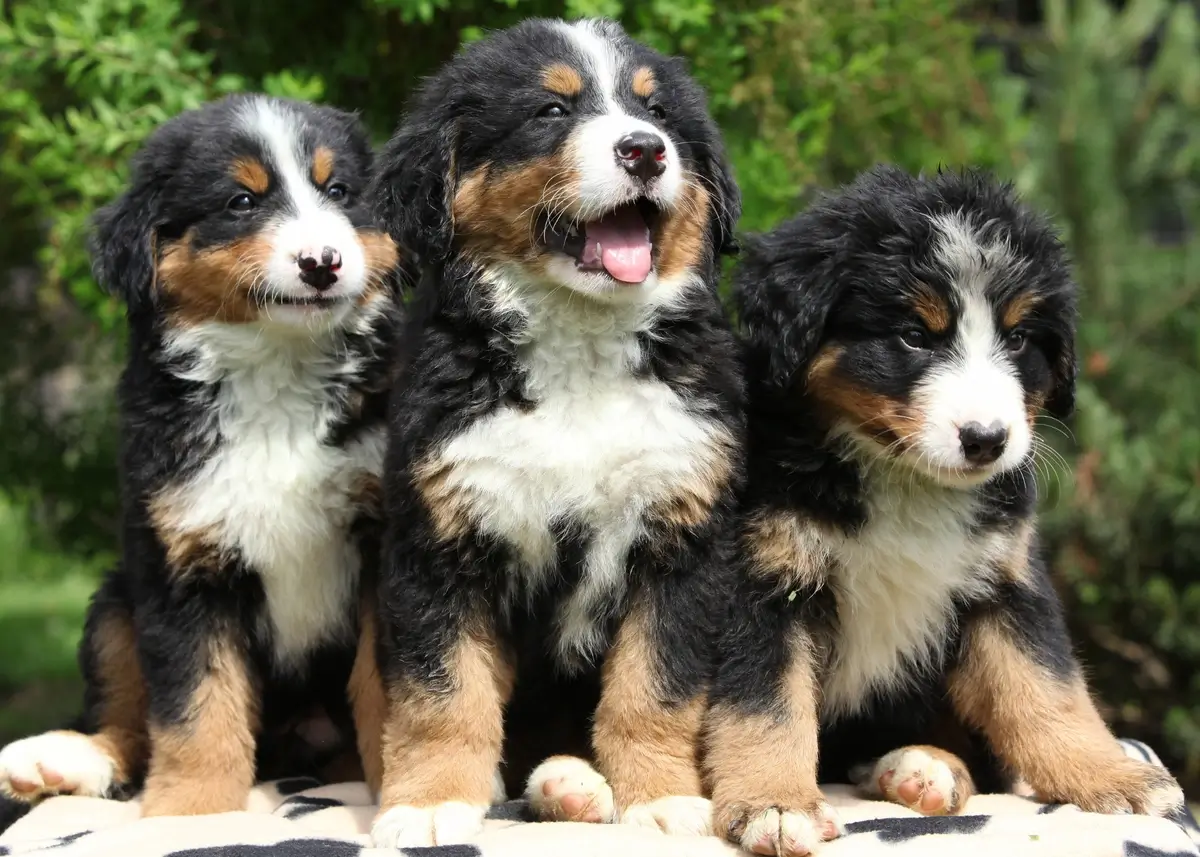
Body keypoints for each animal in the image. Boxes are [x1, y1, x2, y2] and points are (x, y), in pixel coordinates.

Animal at [0, 93, 403, 816]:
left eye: (338, 192)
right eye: (241, 202)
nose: (322, 262)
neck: (276, 371)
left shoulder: (381, 537)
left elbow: (382, 685)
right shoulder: (182, 558)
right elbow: (195, 700)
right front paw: (189, 808)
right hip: (116, 599)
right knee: (123, 717)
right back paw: (60, 758)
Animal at [367, 18, 739, 849]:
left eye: (657, 112)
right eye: (551, 110)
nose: (645, 151)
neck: (581, 344)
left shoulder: (680, 537)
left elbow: (653, 685)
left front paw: (661, 795)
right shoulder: (438, 539)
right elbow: (442, 691)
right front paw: (432, 800)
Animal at [700, 163, 1185, 849]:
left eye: (1018, 339)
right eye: (913, 336)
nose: (987, 440)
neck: (905, 480)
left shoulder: (1005, 584)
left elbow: (1048, 688)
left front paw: (1109, 775)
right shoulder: (767, 583)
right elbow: (765, 703)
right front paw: (776, 802)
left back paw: (921, 768)